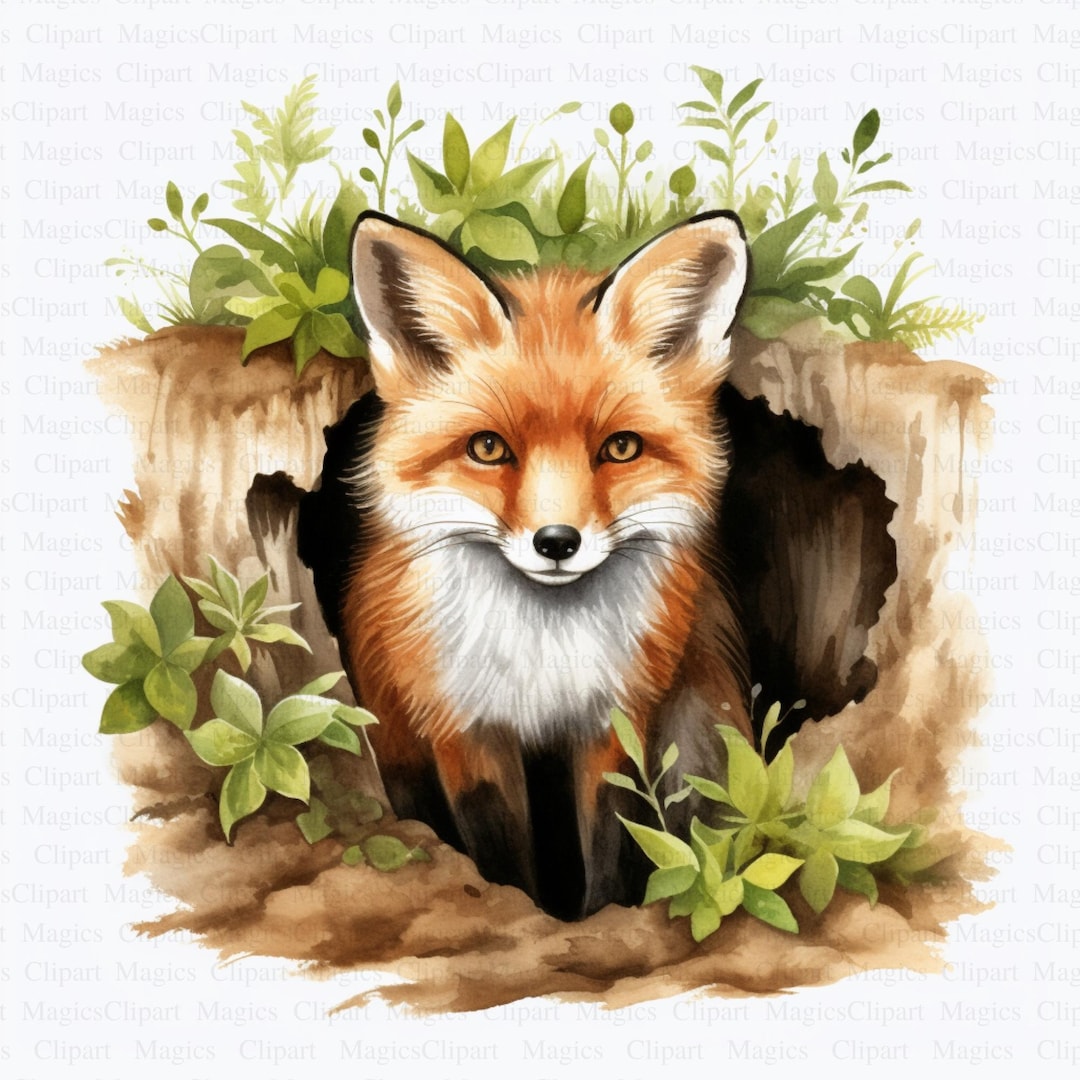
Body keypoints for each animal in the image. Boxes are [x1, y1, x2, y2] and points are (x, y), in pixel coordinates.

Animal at [330, 209, 753, 919]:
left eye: (620, 448)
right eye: (487, 448)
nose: (557, 542)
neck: (543, 655)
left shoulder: (615, 724)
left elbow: (612, 839)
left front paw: (600, 918)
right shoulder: (463, 730)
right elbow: (501, 852)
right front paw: (516, 906)